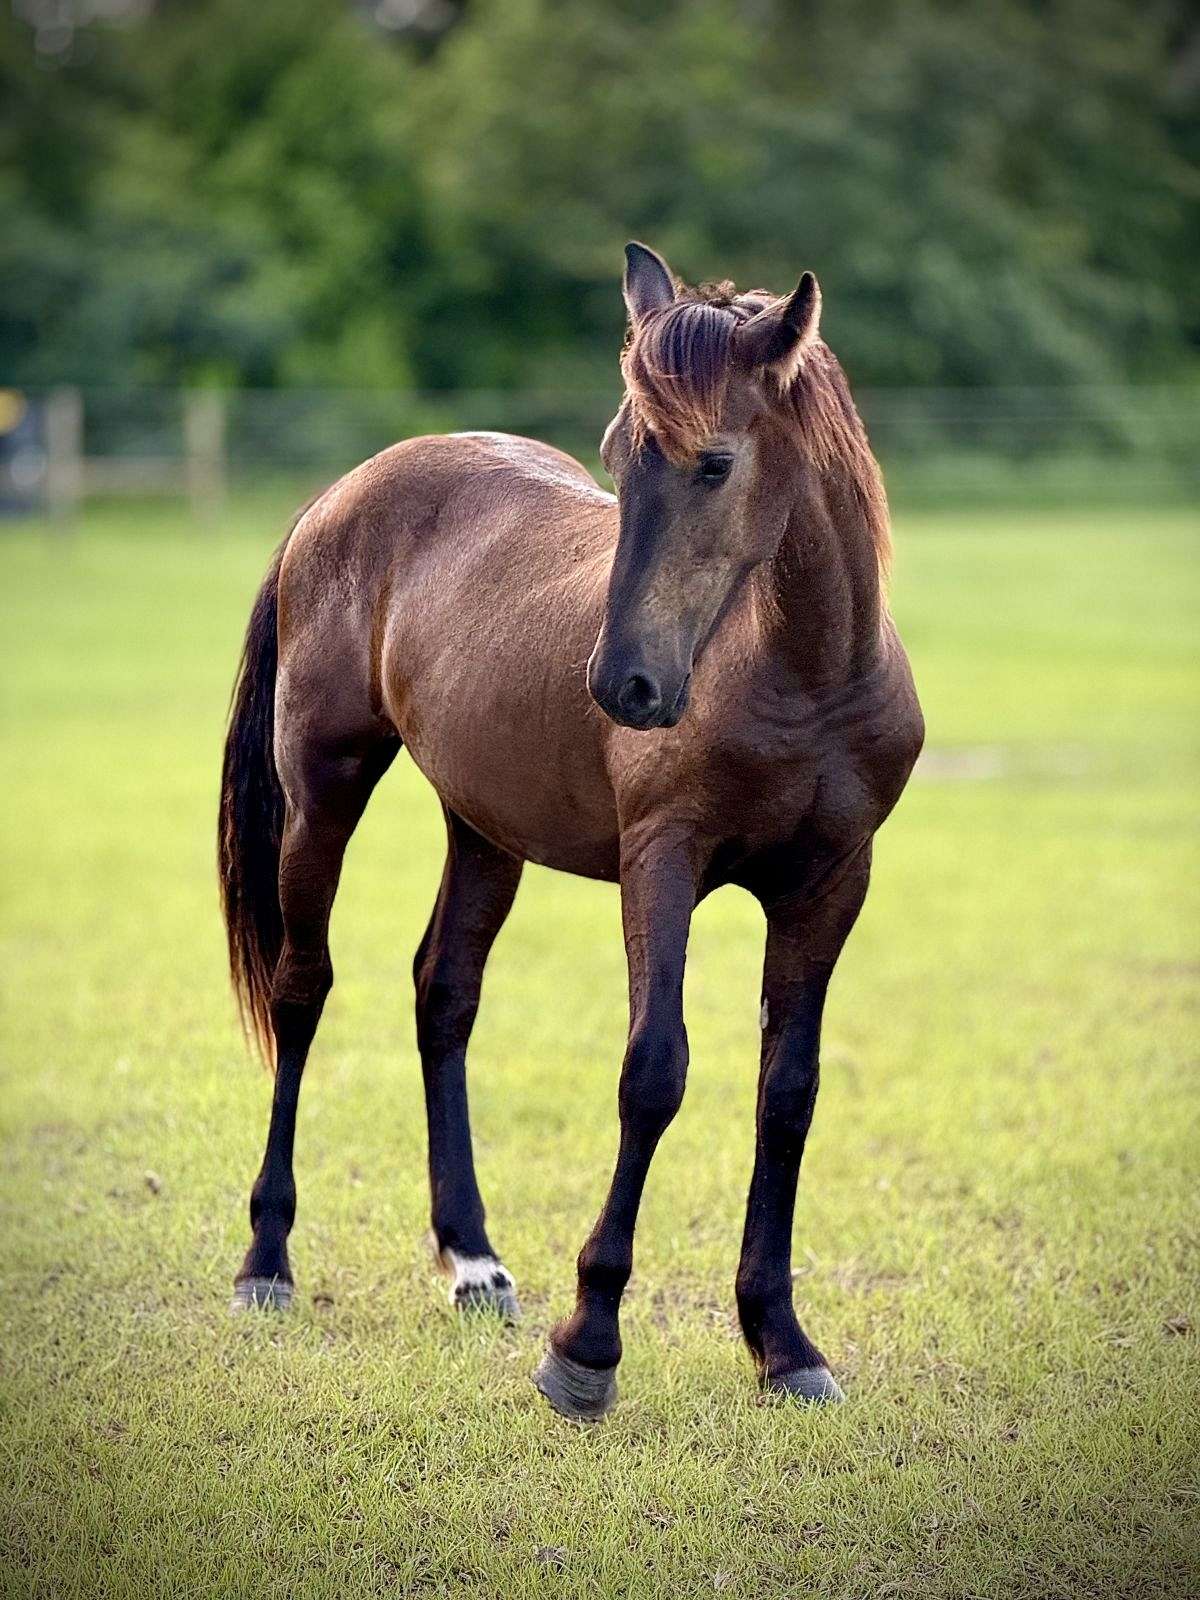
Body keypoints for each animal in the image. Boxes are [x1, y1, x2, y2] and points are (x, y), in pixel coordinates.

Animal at [217, 242, 924, 1421]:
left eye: (714, 464)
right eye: (615, 455)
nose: (622, 684)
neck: (803, 675)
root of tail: (342, 495)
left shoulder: (833, 883)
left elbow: (789, 1093)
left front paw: (782, 1342)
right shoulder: (663, 864)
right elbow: (655, 1071)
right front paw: (588, 1345)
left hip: (483, 826)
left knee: (443, 992)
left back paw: (473, 1262)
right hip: (324, 792)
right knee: (302, 986)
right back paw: (267, 1259)